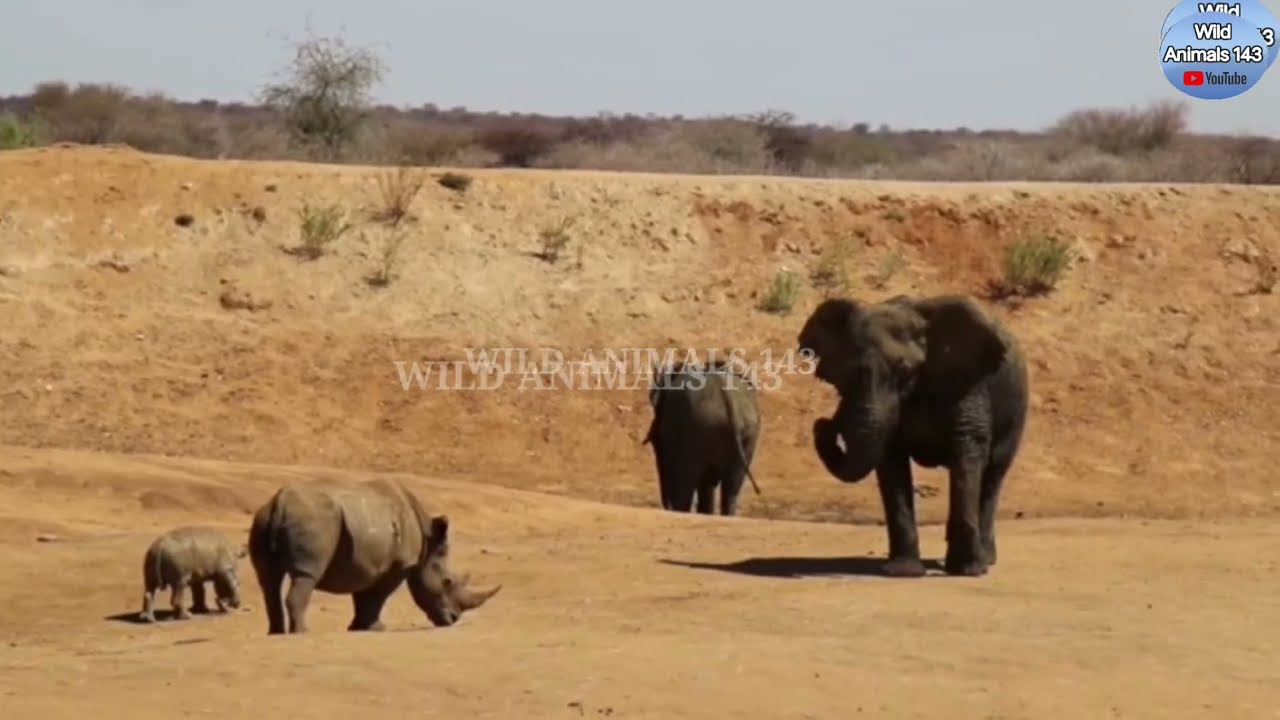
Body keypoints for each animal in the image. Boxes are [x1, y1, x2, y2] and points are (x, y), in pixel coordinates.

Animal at [247, 477, 501, 634]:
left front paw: (357, 627)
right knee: (306, 575)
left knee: (268, 580)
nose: (453, 620)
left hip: (262, 519)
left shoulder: (365, 561)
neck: (427, 541)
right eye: (447, 582)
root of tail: (279, 502)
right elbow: (378, 595)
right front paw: (376, 628)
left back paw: (276, 632)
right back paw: (302, 632)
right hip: (314, 521)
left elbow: (363, 594)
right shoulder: (400, 565)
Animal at [642, 359, 762, 516]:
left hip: (700, 429)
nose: (667, 504)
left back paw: (680, 510)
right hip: (746, 433)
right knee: (731, 489)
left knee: (686, 484)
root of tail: (725, 394)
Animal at [796, 293, 1029, 578]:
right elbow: (891, 463)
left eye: (905, 372)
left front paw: (968, 570)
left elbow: (967, 450)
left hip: (1016, 410)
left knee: (993, 475)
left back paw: (985, 560)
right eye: (846, 375)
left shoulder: (968, 382)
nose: (824, 423)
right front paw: (902, 571)